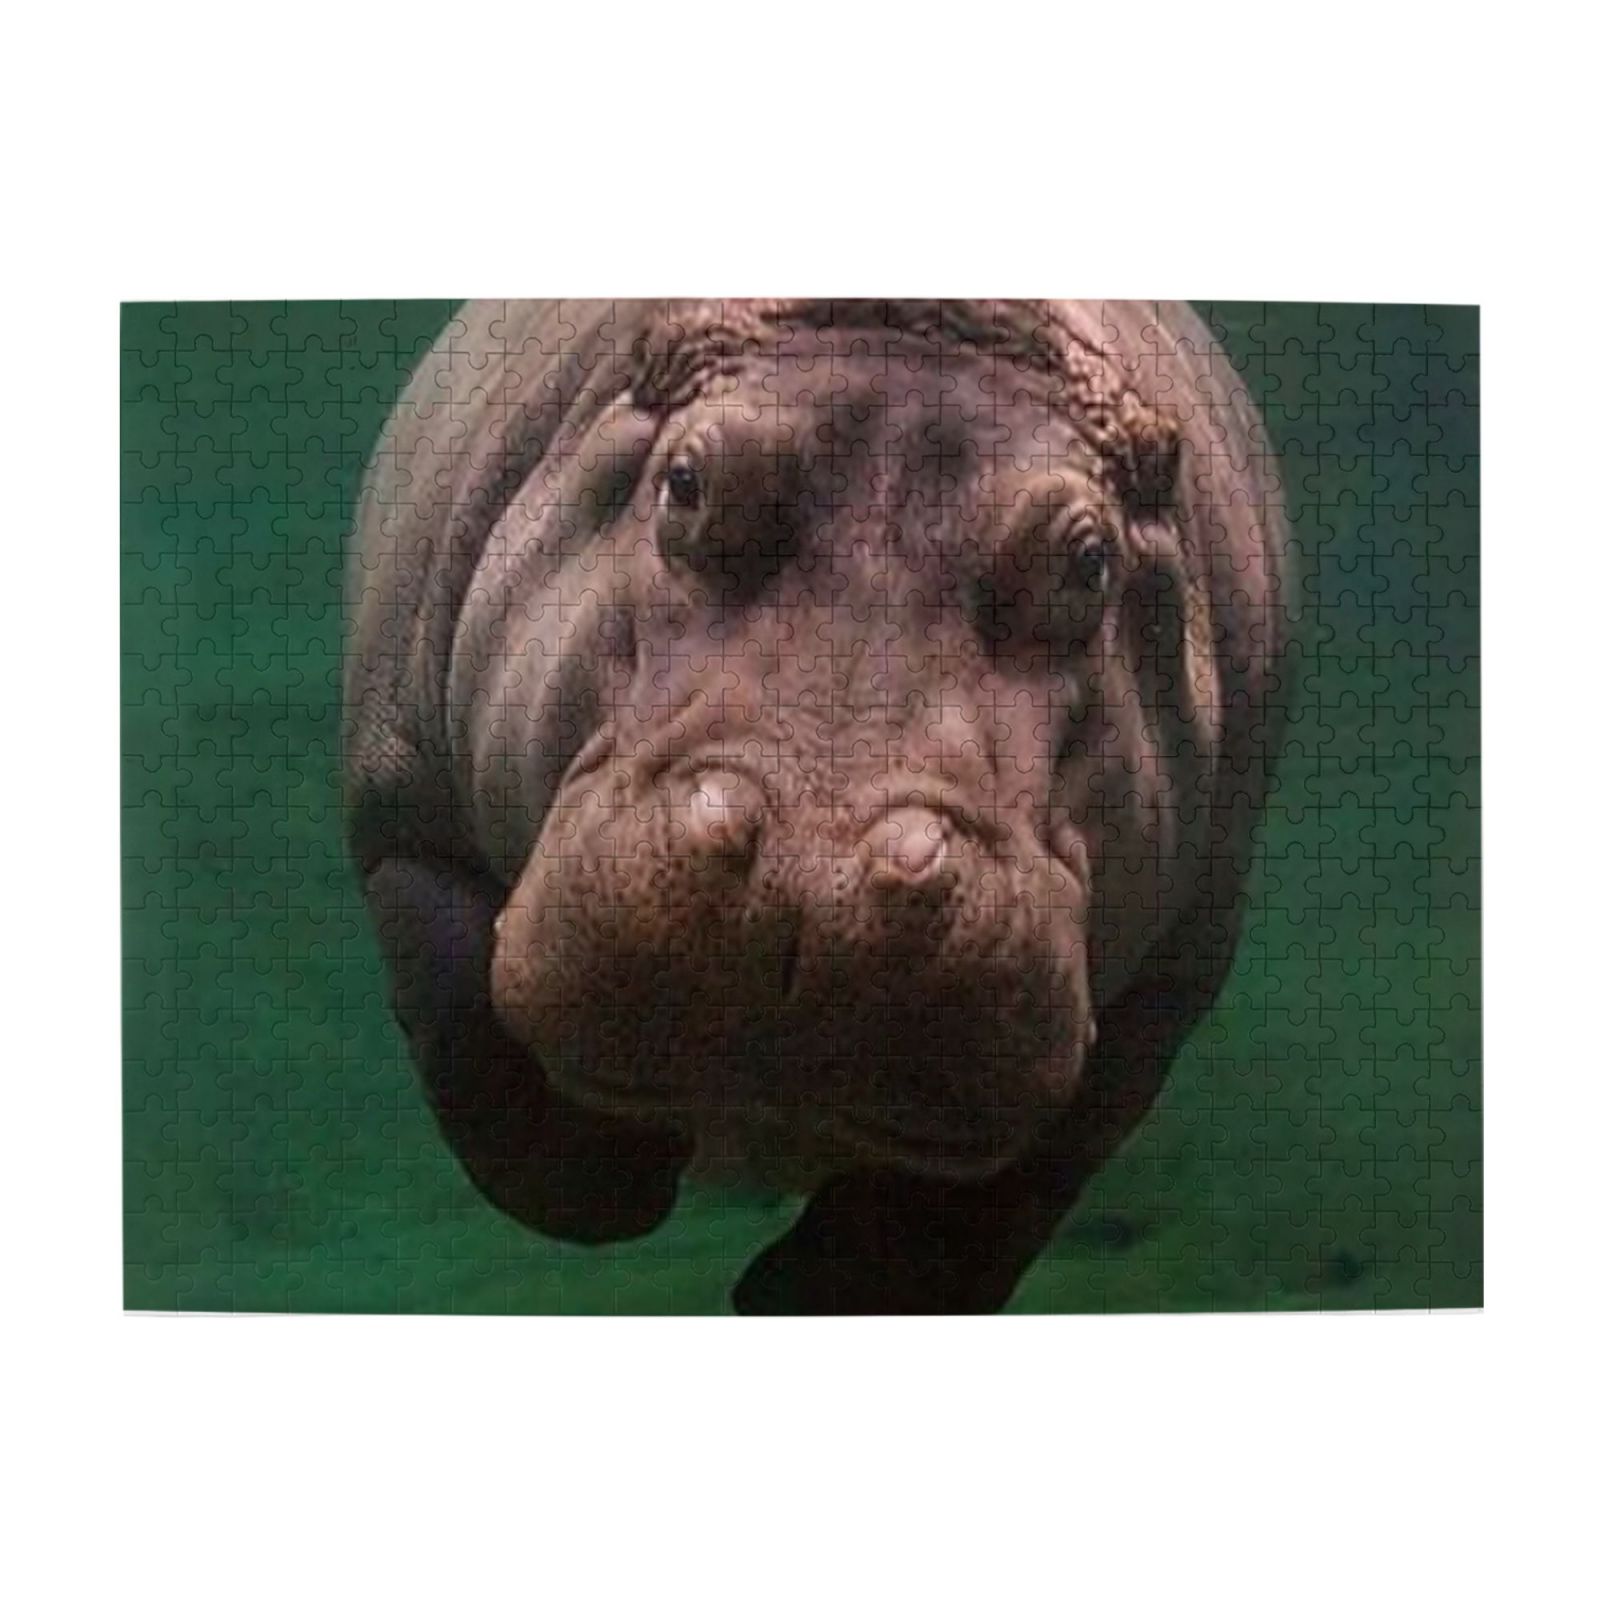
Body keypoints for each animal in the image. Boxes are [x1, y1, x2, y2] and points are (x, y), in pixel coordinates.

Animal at [344, 299, 1288, 1313]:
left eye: (1088, 562)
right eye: (684, 482)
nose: (813, 879)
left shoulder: (1180, 960)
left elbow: (1006, 1195)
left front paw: (802, 1292)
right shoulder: (402, 821)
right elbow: (470, 1045)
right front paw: (622, 1171)